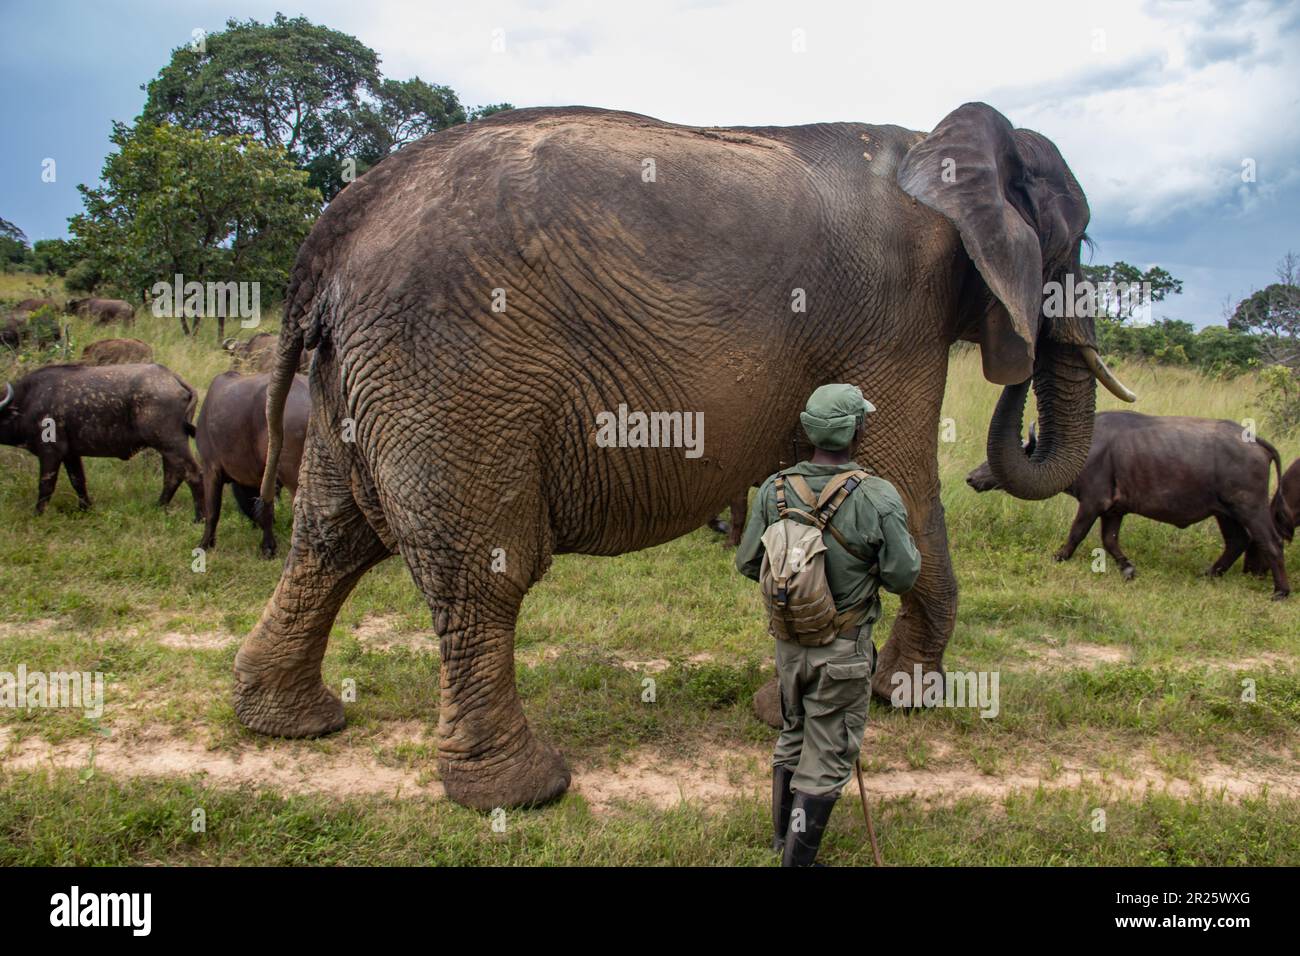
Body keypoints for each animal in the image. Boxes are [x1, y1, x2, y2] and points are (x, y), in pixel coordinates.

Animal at [0, 363, 203, 516]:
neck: (27, 402)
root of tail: (173, 378)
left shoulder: (50, 453)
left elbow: (46, 486)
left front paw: (37, 514)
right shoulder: (71, 455)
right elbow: (78, 481)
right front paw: (85, 508)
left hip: (170, 443)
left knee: (193, 473)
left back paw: (199, 517)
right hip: (167, 446)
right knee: (173, 475)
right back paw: (159, 505)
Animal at [234, 102, 1134, 810]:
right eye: (1075, 242)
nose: (1032, 348)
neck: (930, 140)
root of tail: (327, 239)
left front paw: (836, 697)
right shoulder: (898, 310)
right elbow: (903, 485)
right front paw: (898, 697)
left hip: (360, 380)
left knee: (330, 538)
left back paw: (290, 722)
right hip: (452, 371)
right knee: (483, 569)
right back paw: (522, 793)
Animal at [967, 411, 1290, 599]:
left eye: (997, 462)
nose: (972, 477)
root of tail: (1255, 441)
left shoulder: (1092, 503)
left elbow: (1076, 534)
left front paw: (1059, 556)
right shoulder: (1114, 511)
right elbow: (1109, 541)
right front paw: (1127, 568)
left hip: (1250, 509)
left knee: (1271, 543)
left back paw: (1281, 591)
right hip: (1225, 513)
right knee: (1236, 542)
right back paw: (1210, 574)